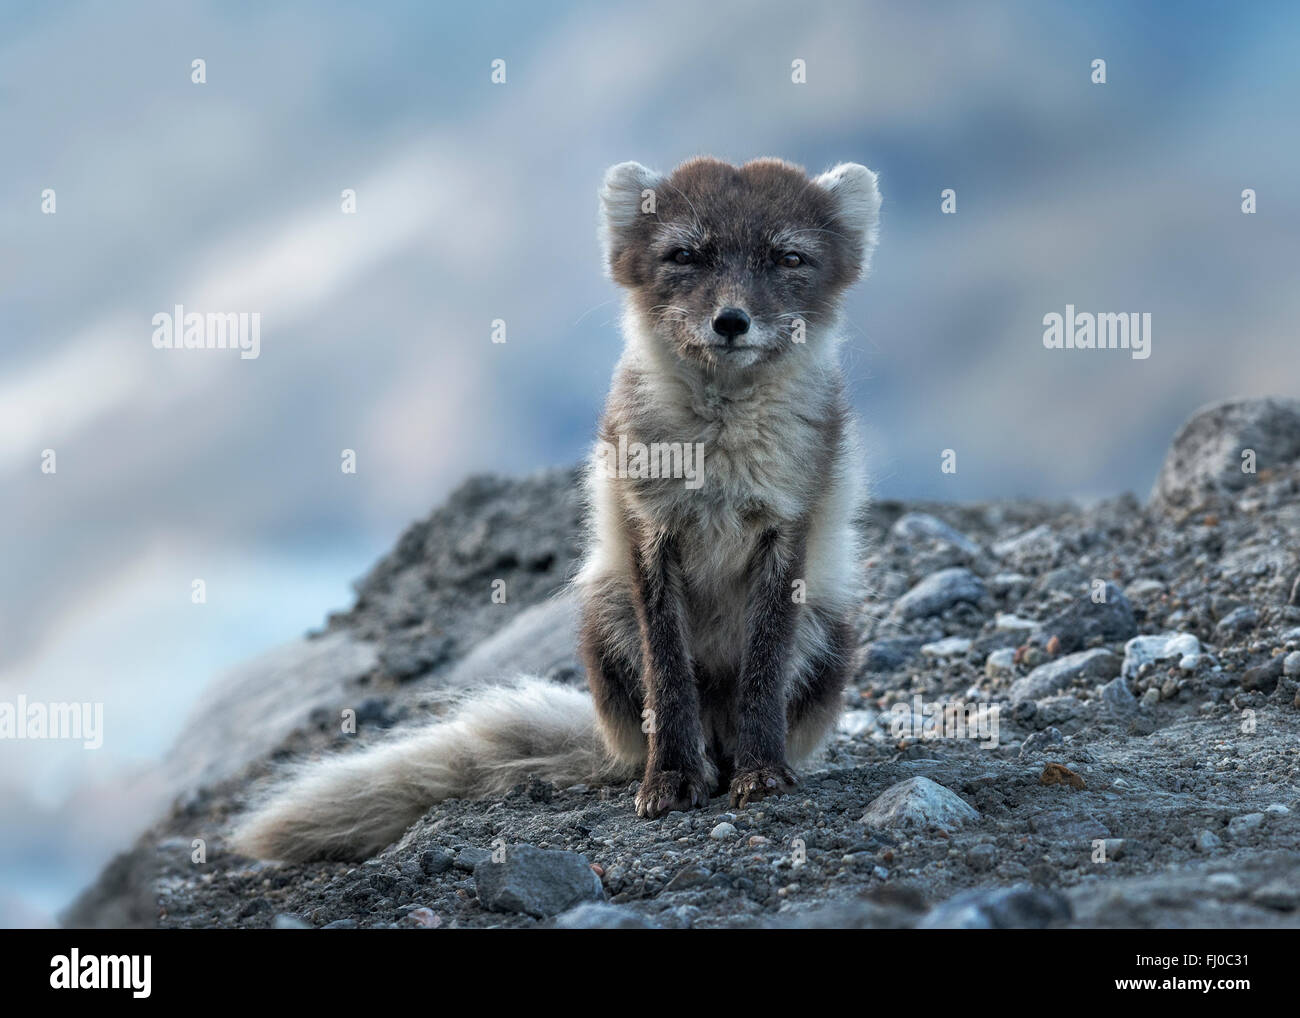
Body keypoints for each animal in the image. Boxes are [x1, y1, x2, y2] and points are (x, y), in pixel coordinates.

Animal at [232, 156, 880, 861]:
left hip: (826, 626)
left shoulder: (788, 527)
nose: (731, 321)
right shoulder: (648, 531)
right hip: (607, 612)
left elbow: (764, 668)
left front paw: (762, 773)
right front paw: (671, 779)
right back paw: (689, 766)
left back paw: (738, 762)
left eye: (788, 258)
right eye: (685, 255)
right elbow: (668, 677)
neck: (718, 444)